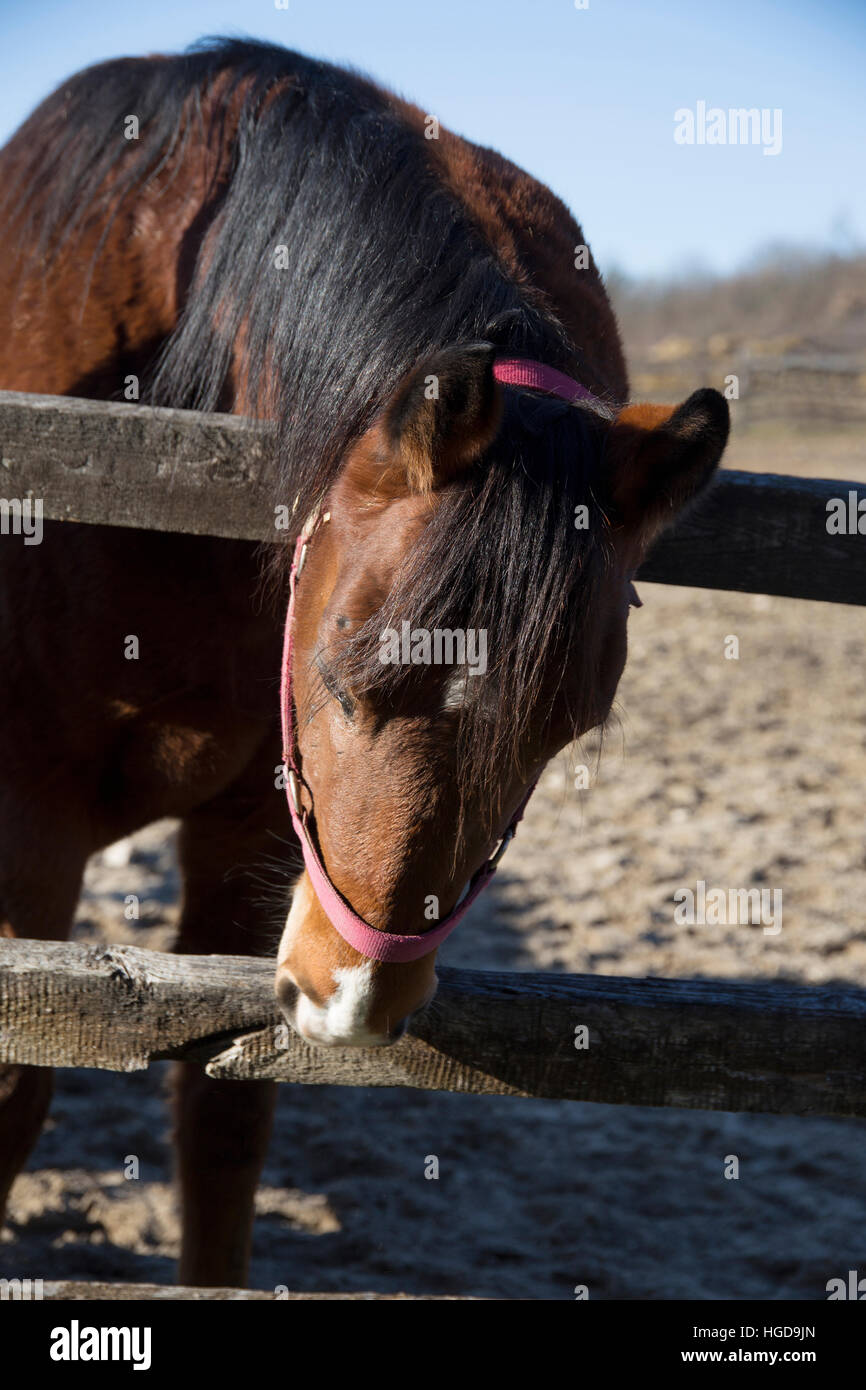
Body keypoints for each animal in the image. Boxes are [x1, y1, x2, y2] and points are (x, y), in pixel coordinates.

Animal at [0, 38, 729, 1287]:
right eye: (342, 676)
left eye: (563, 733)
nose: (355, 1004)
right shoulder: (29, 821)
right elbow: (11, 1089)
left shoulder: (257, 828)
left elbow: (223, 1113)